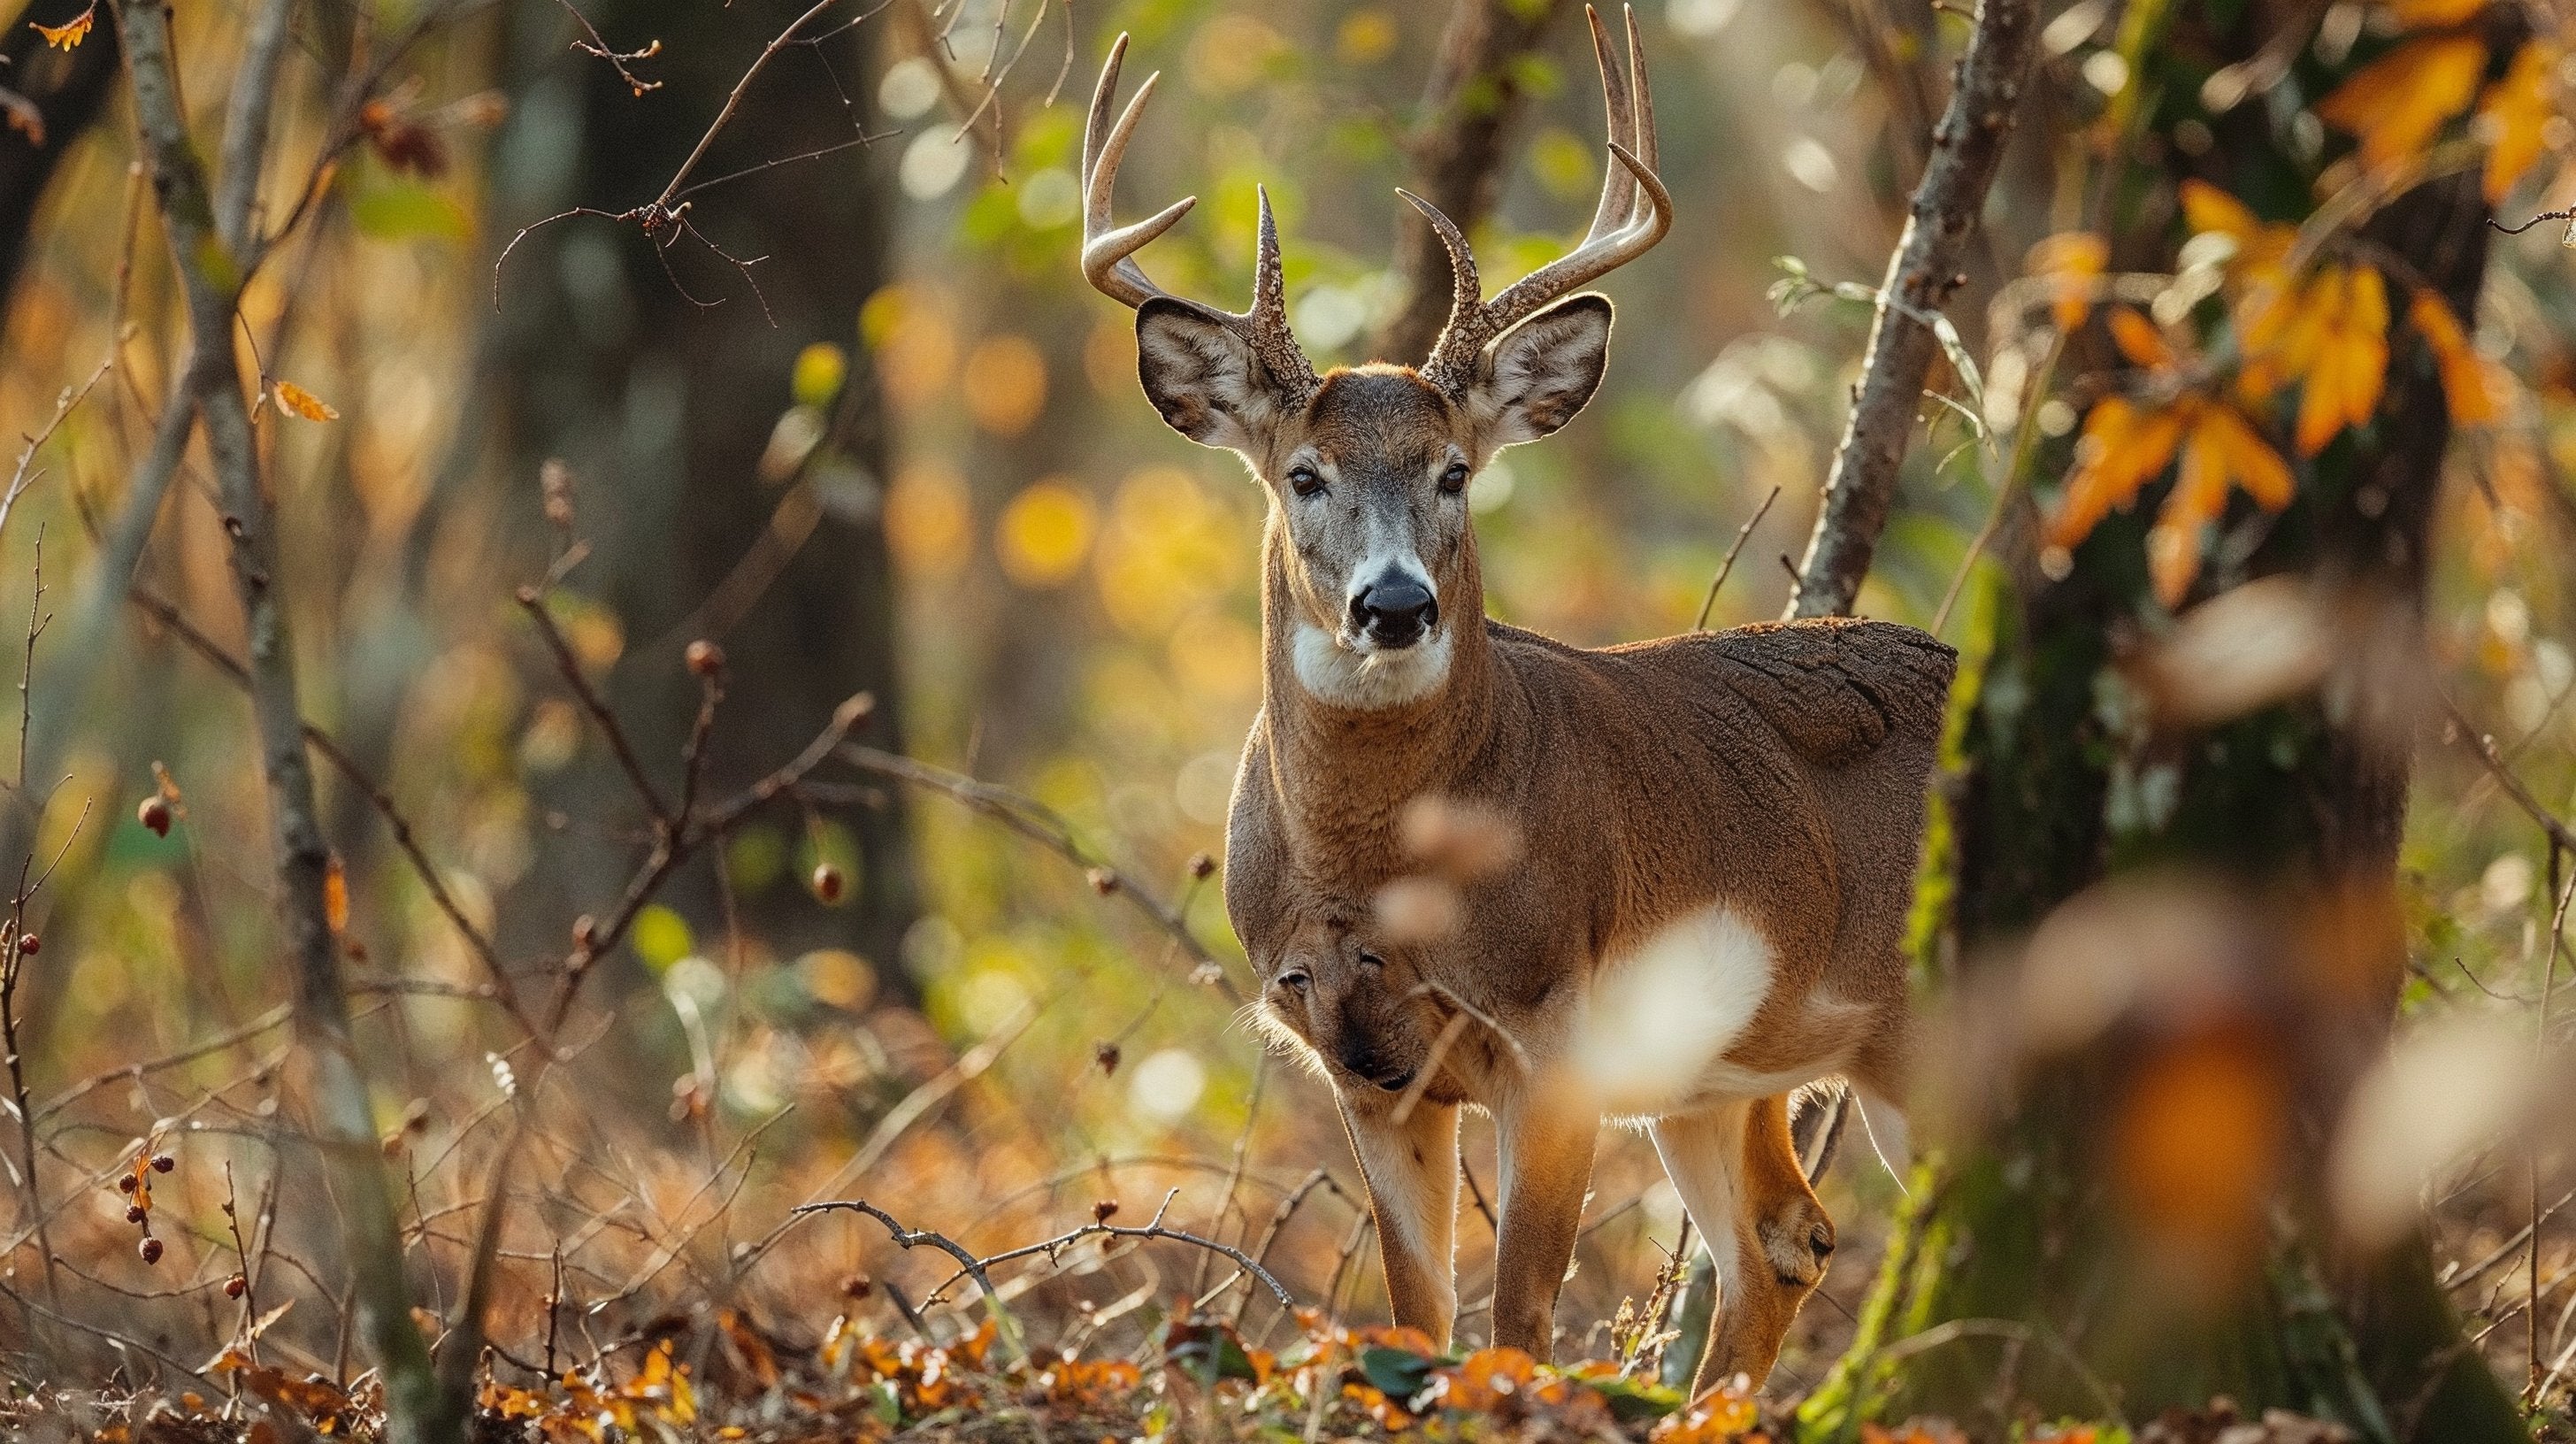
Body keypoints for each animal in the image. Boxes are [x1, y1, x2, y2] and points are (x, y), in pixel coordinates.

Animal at [1078, 8, 1957, 1393]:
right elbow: (1414, 1316)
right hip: (1723, 1075)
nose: (1393, 605)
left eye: (1453, 471)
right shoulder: (1358, 1062)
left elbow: (1518, 1317)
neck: (1378, 872)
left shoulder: (1556, 1034)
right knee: (1788, 1241)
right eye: (1305, 475)